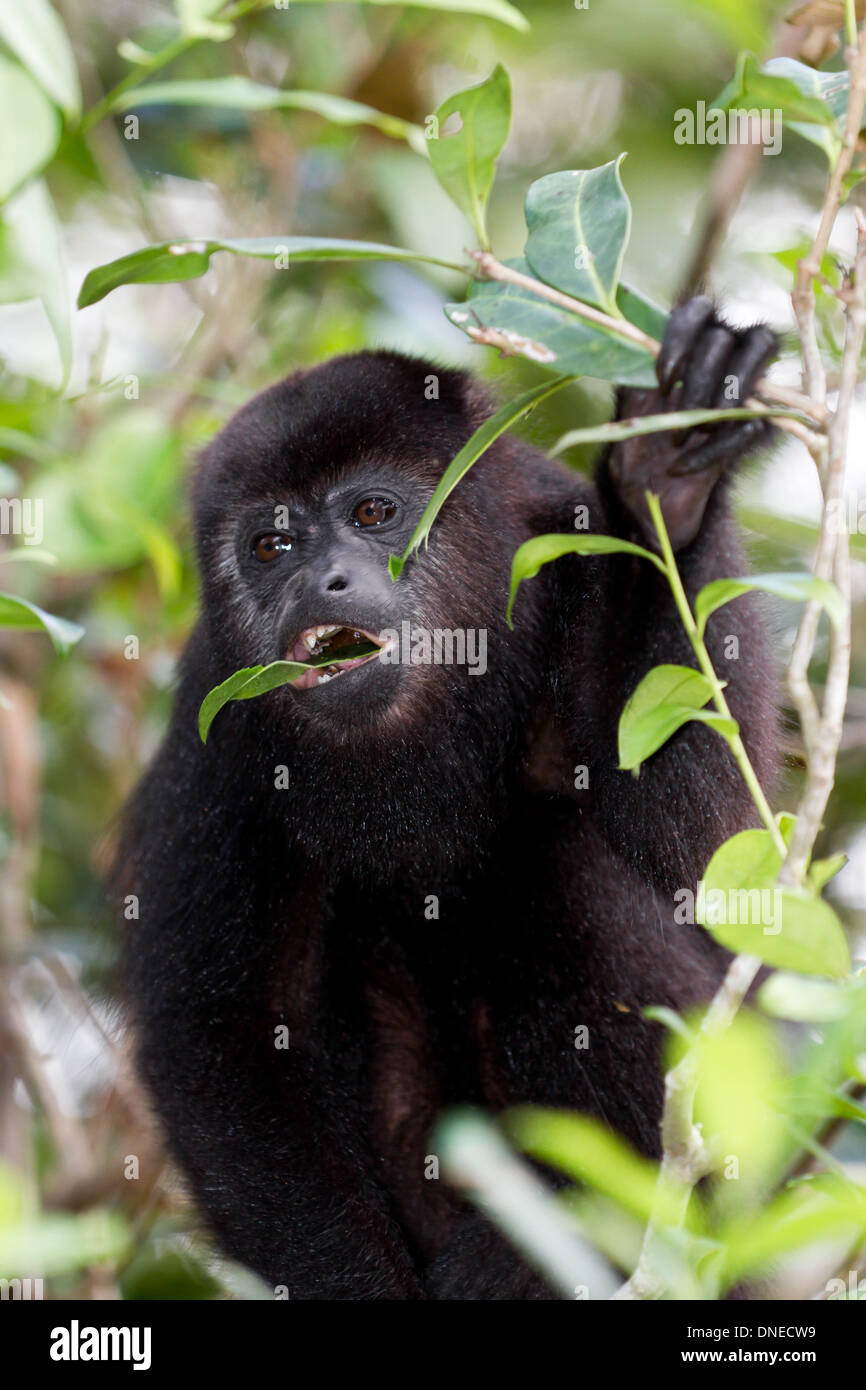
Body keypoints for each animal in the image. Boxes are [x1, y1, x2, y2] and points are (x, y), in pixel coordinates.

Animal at [115, 297, 779, 1299]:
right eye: (272, 545)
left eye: (373, 513)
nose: (320, 580)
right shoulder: (216, 721)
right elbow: (222, 1034)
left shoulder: (566, 550)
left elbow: (713, 881)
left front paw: (668, 481)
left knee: (553, 861)